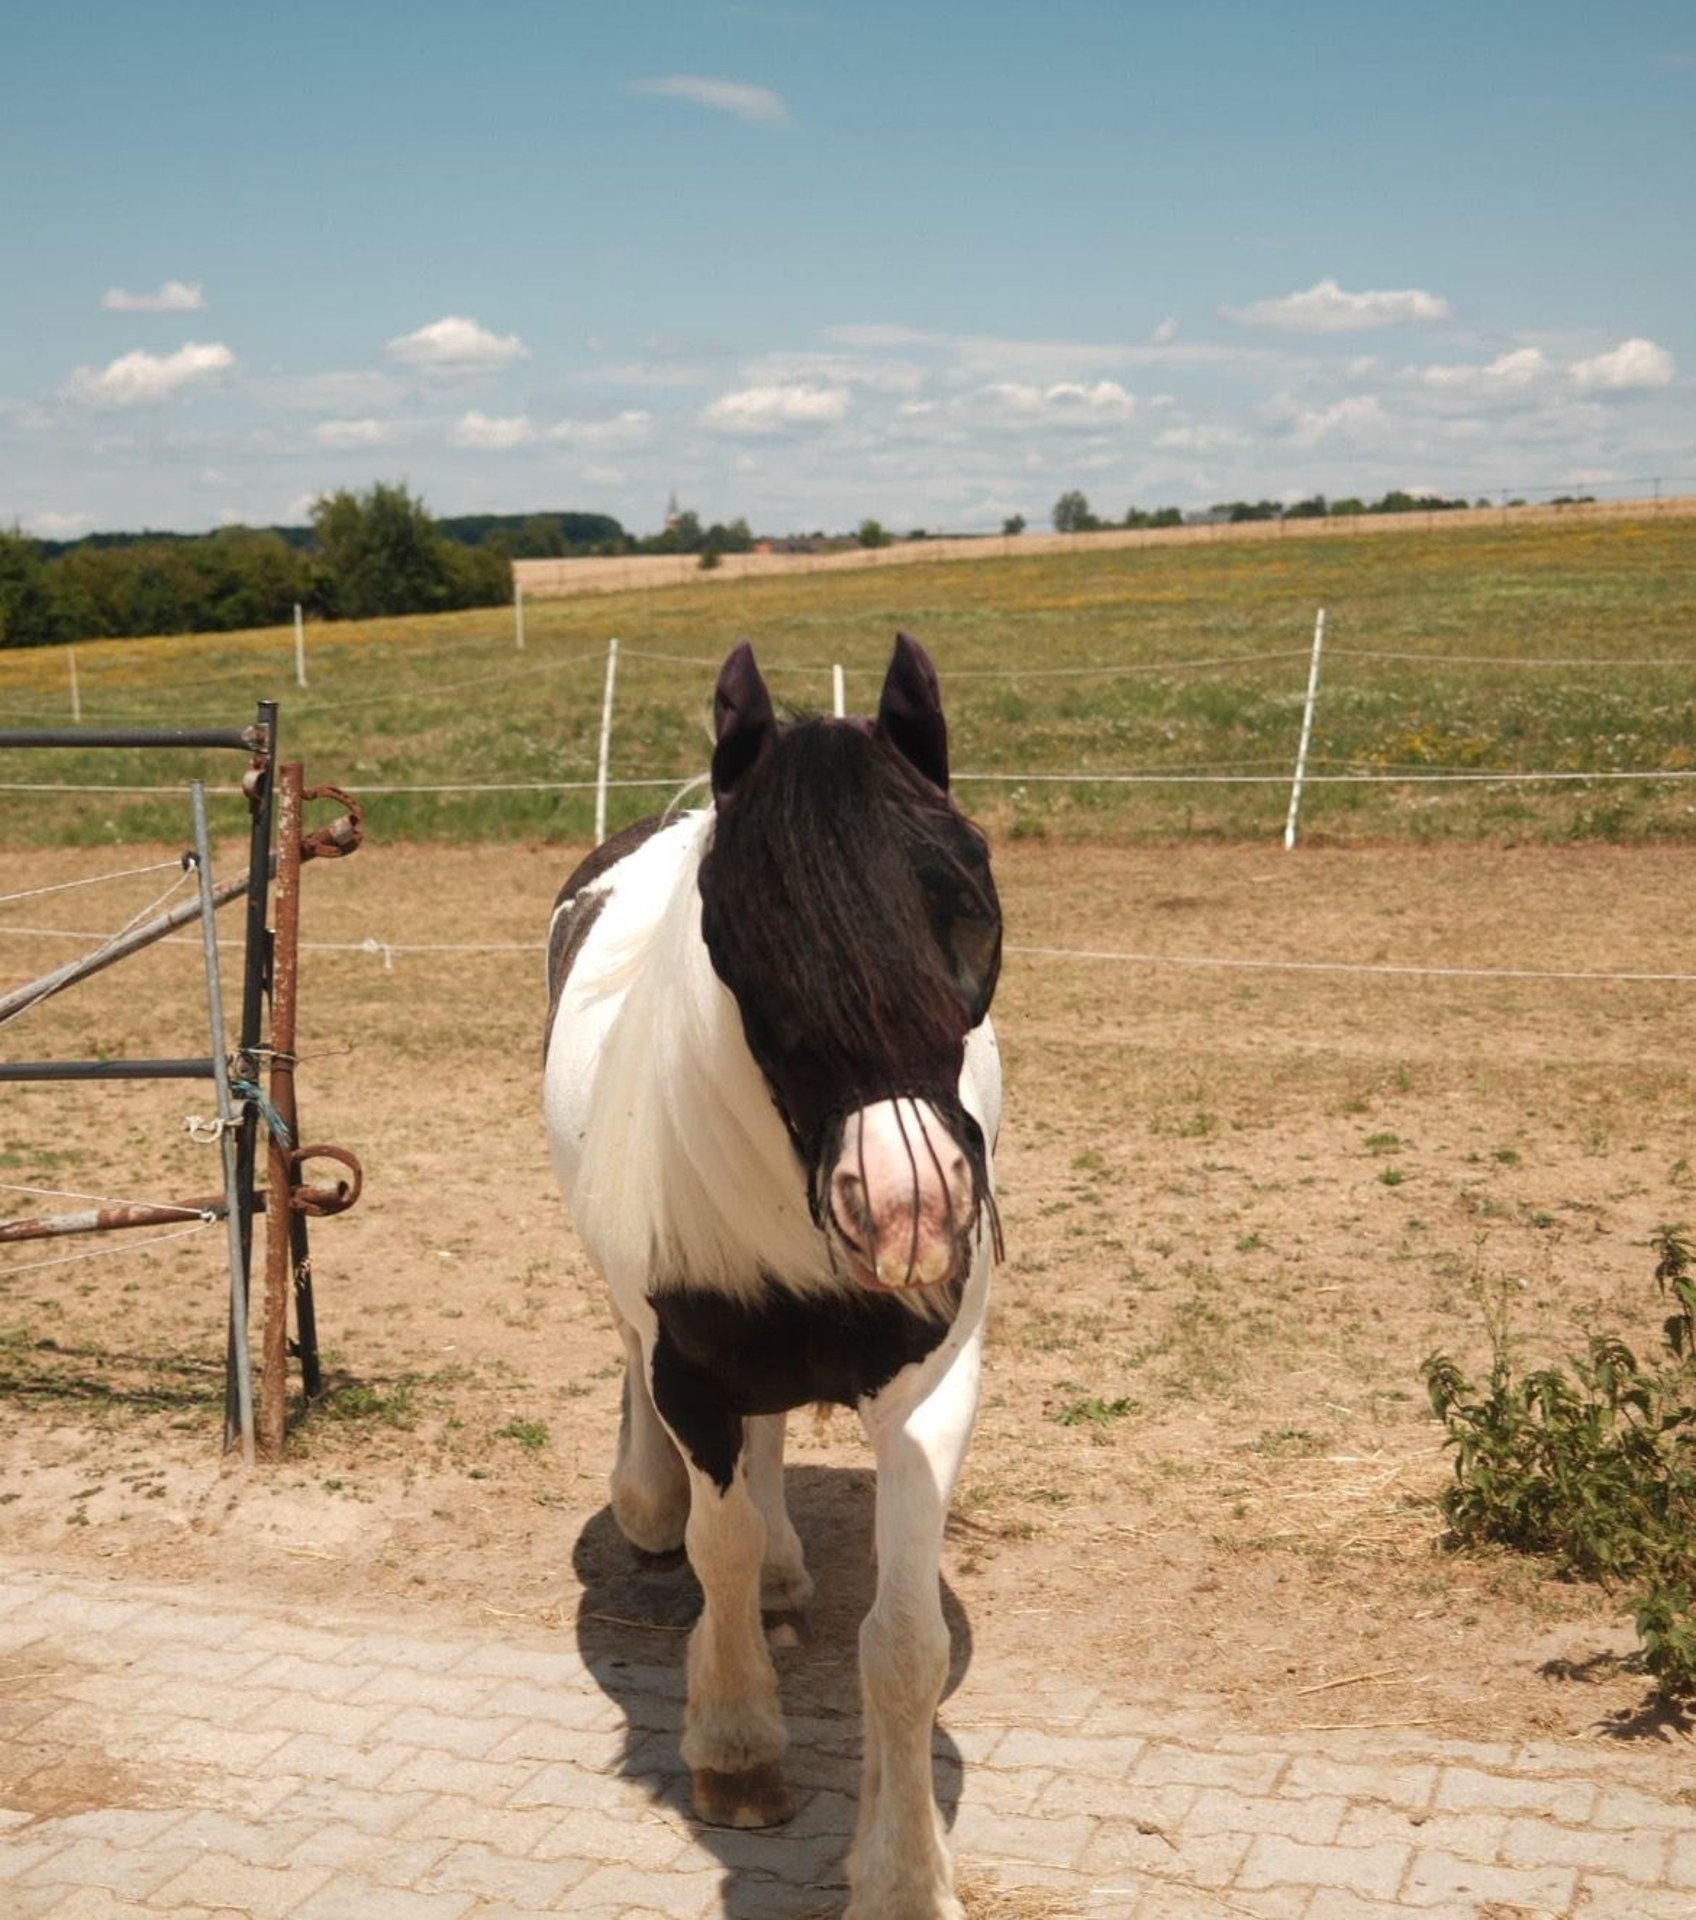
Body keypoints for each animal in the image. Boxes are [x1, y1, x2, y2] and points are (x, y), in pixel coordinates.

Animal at [543, 633, 1003, 1920]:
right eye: (741, 943)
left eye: (975, 916)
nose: (910, 1212)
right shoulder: (690, 1369)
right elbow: (721, 1549)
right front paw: (736, 1745)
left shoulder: (932, 1390)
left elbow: (902, 1644)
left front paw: (903, 1876)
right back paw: (658, 1507)